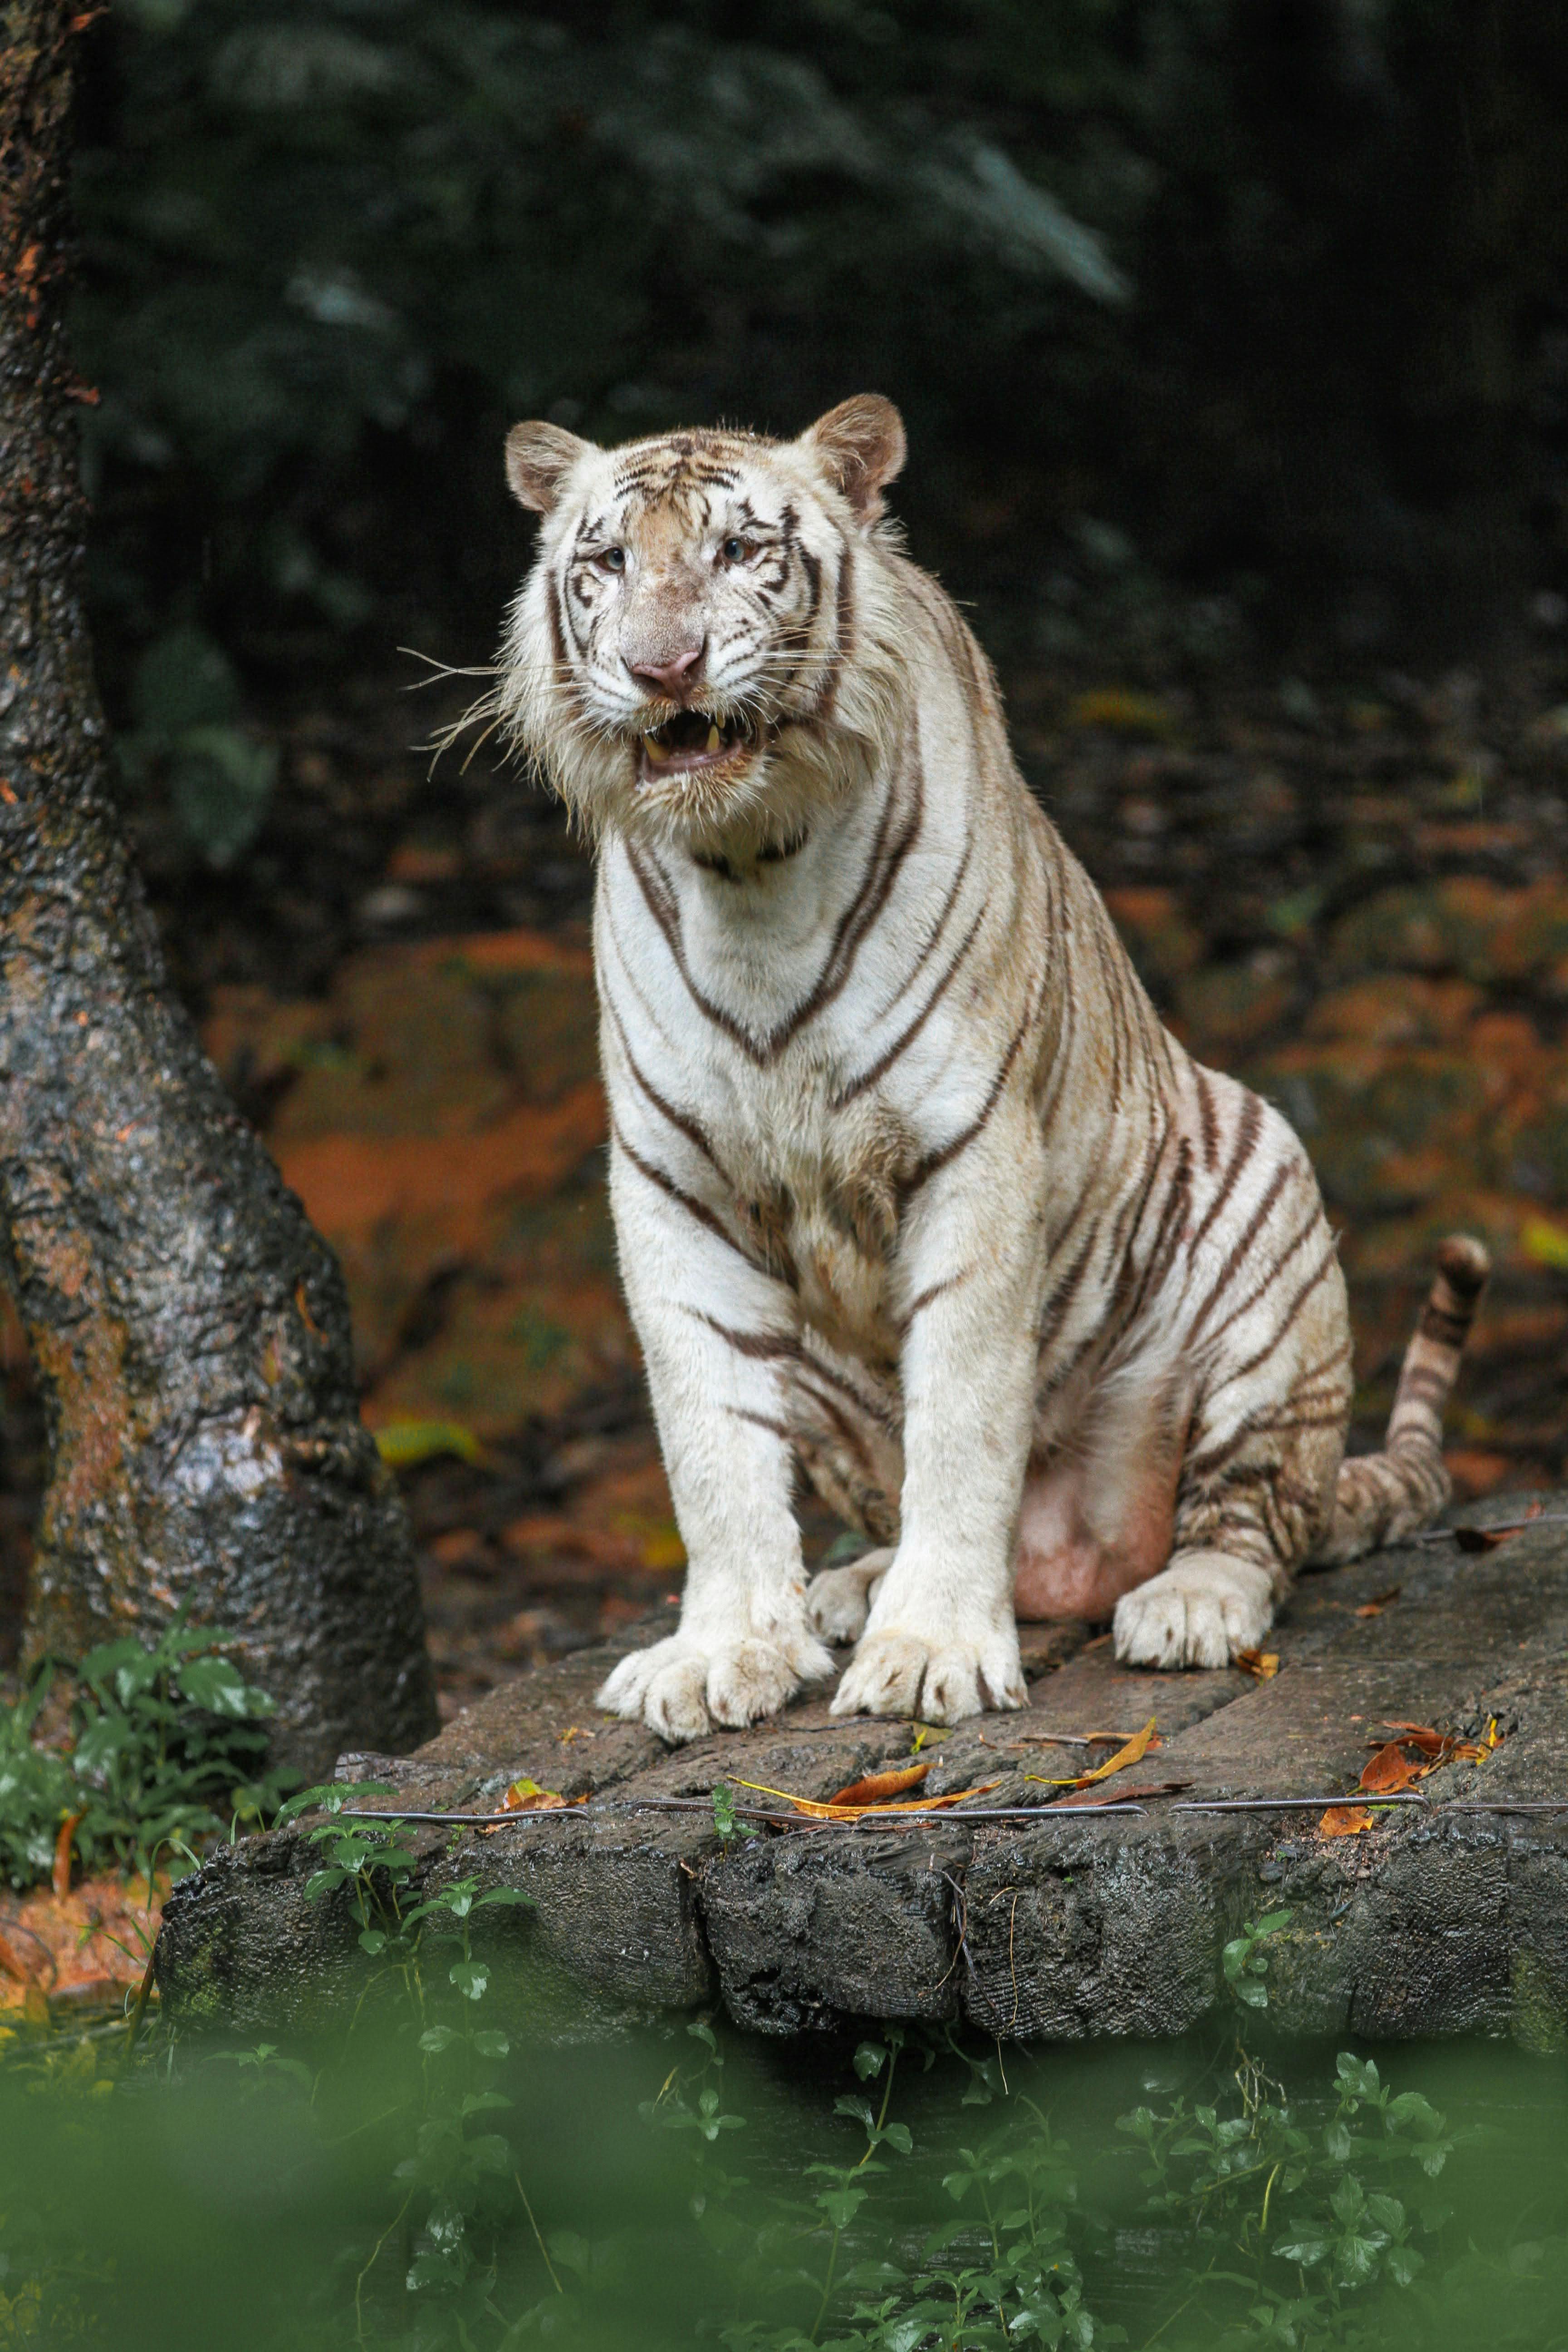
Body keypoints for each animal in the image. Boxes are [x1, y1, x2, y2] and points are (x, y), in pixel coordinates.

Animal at [494, 393, 1489, 1744]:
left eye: (741, 551)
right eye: (603, 562)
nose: (662, 669)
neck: (747, 869)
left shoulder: (967, 1153)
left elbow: (963, 1420)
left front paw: (929, 1653)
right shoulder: (672, 1181)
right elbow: (708, 1447)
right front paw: (721, 1651)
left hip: (1267, 1210)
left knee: (1254, 1516)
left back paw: (1186, 1601)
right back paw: (847, 1589)